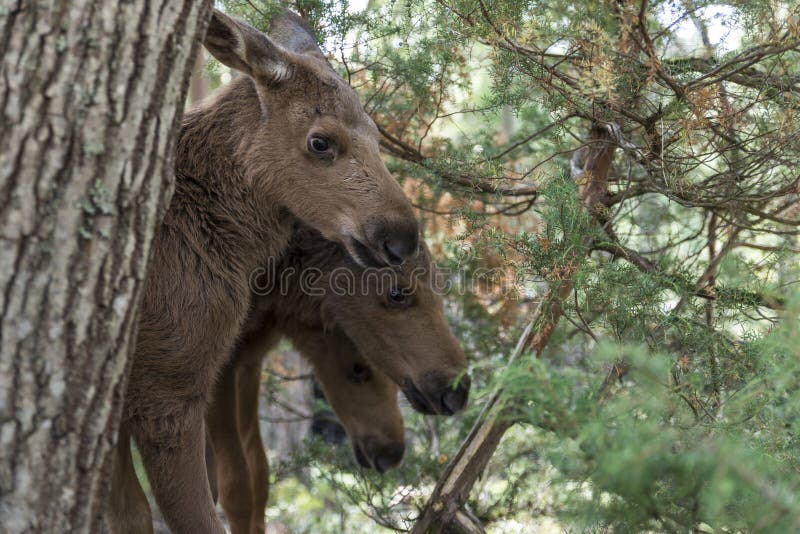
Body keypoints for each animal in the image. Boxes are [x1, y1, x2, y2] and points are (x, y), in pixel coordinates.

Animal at [106, 9, 421, 534]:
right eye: (321, 141)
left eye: (377, 136)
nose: (403, 236)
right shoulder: (166, 389)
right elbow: (192, 514)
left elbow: (127, 512)